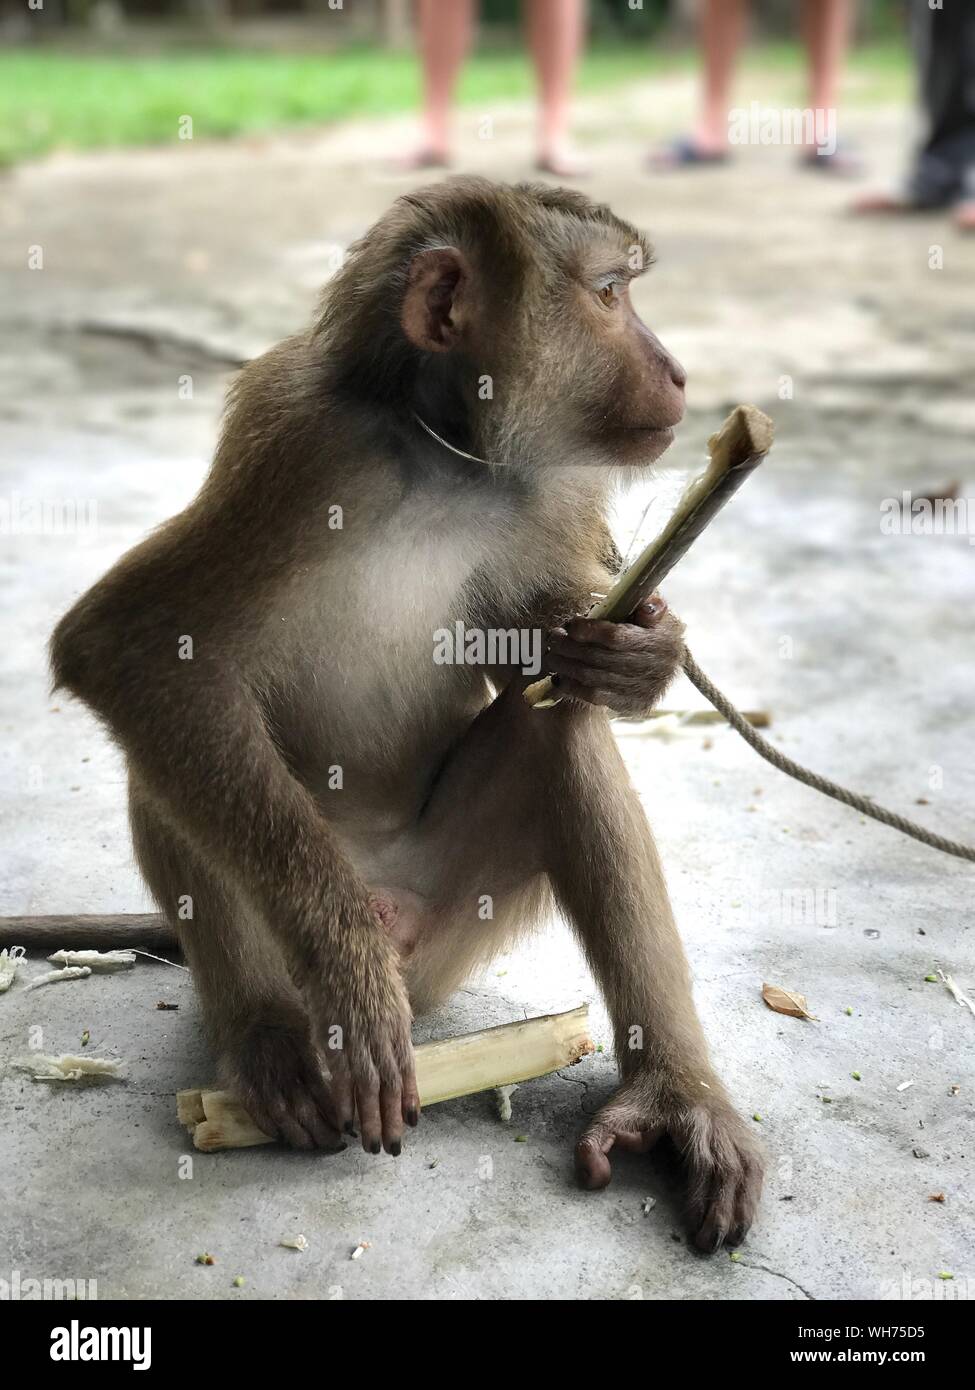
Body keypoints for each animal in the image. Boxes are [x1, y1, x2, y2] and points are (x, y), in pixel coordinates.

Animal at [48, 178, 763, 1251]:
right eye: (608, 293)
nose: (678, 372)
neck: (439, 459)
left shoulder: (542, 497)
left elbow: (538, 665)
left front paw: (639, 654)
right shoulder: (300, 446)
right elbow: (131, 647)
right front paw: (342, 958)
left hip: (454, 925)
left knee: (558, 732)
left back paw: (672, 1095)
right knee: (169, 741)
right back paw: (267, 1041)